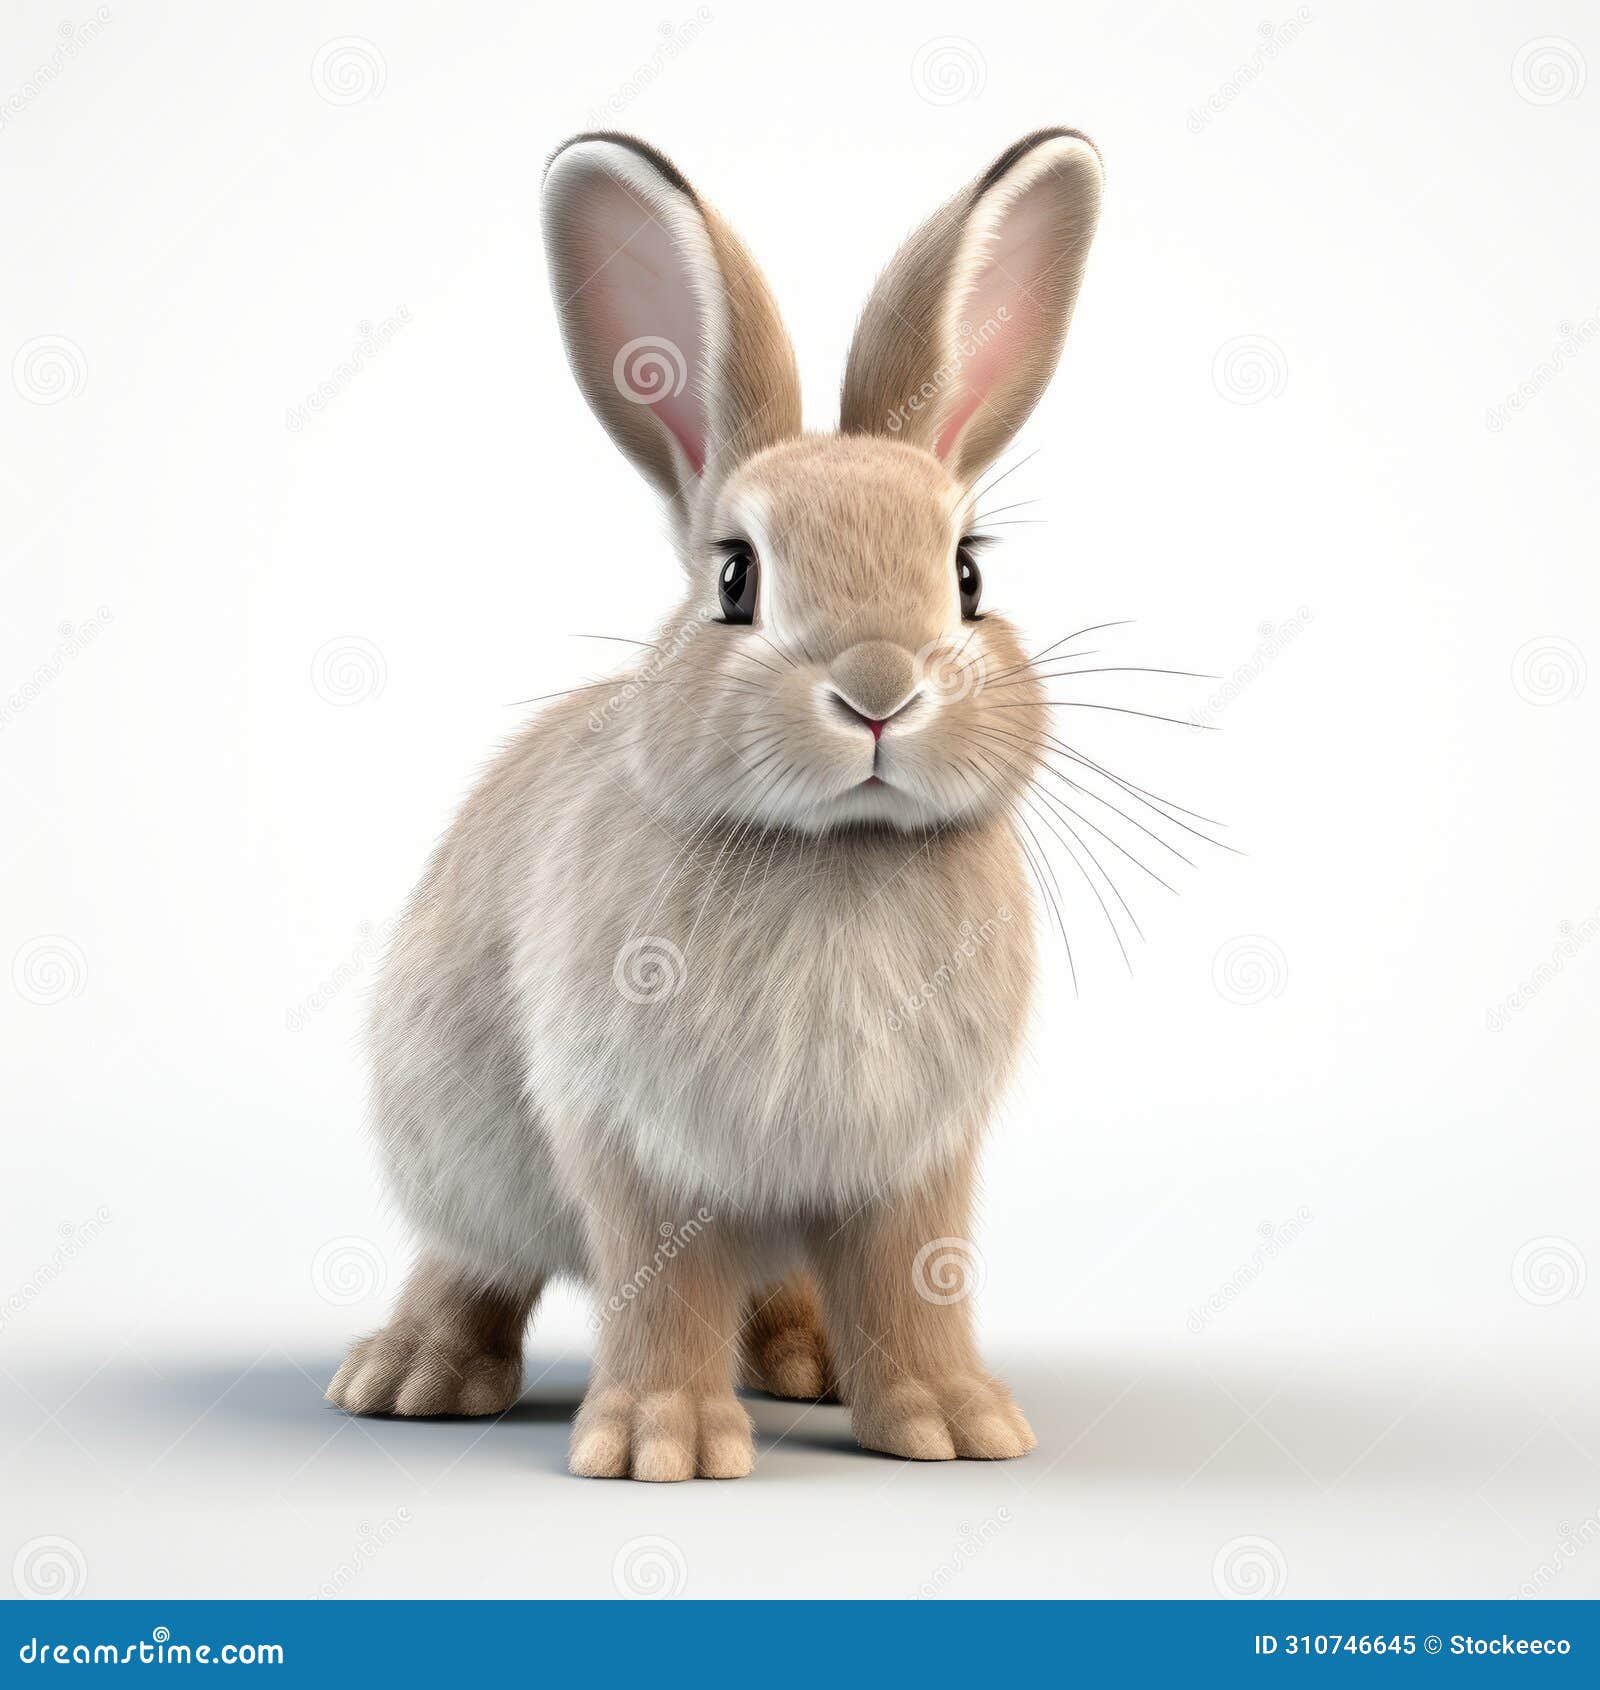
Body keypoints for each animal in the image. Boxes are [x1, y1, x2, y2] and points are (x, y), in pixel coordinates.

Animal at [327, 127, 1104, 1480]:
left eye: (967, 576)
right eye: (735, 578)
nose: (878, 691)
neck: (838, 853)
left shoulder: (912, 1165)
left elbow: (917, 1282)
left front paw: (952, 1423)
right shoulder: (636, 1143)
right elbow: (661, 1289)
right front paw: (662, 1444)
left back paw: (808, 1366)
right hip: (455, 1148)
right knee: (471, 1261)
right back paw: (414, 1376)